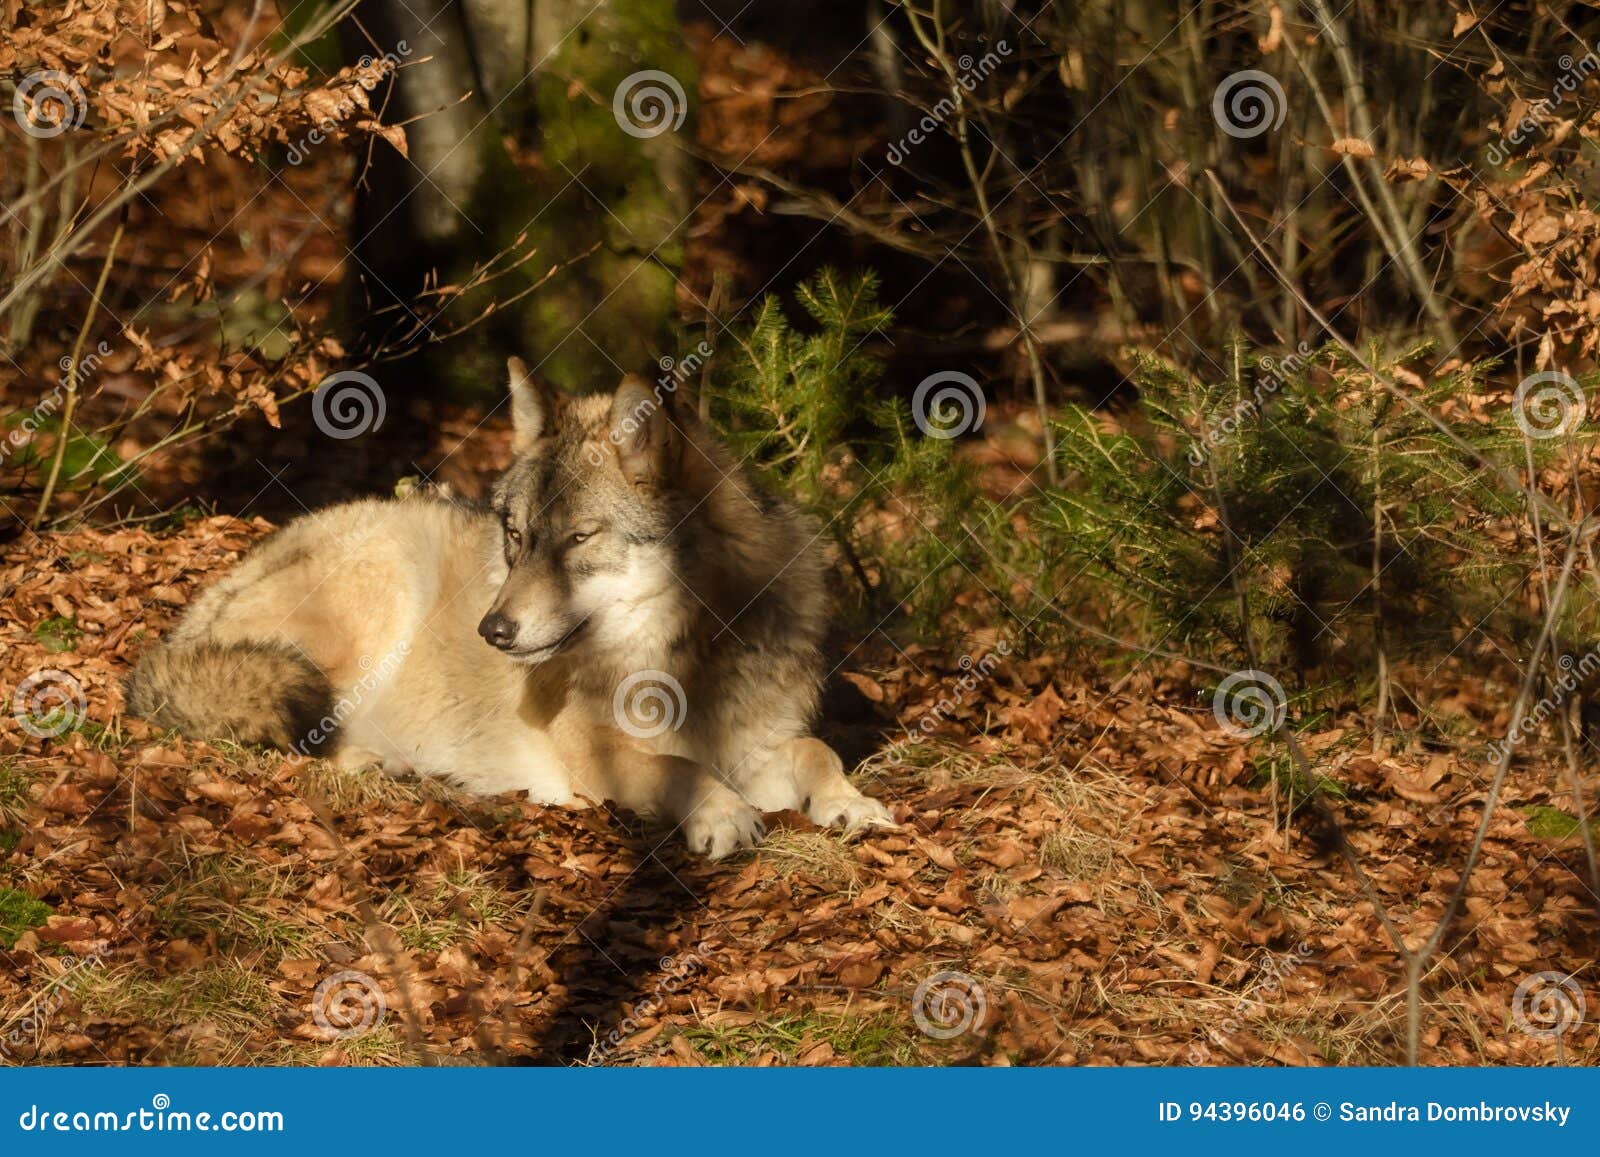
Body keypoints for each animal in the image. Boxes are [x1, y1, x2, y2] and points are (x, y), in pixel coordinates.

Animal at [125, 360, 894, 858]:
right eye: (519, 537)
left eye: (578, 538)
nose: (491, 630)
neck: (686, 654)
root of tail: (191, 618)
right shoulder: (600, 757)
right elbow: (679, 770)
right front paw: (724, 815)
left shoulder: (759, 744)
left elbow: (817, 751)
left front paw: (850, 802)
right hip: (390, 579)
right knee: (303, 736)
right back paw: (383, 763)